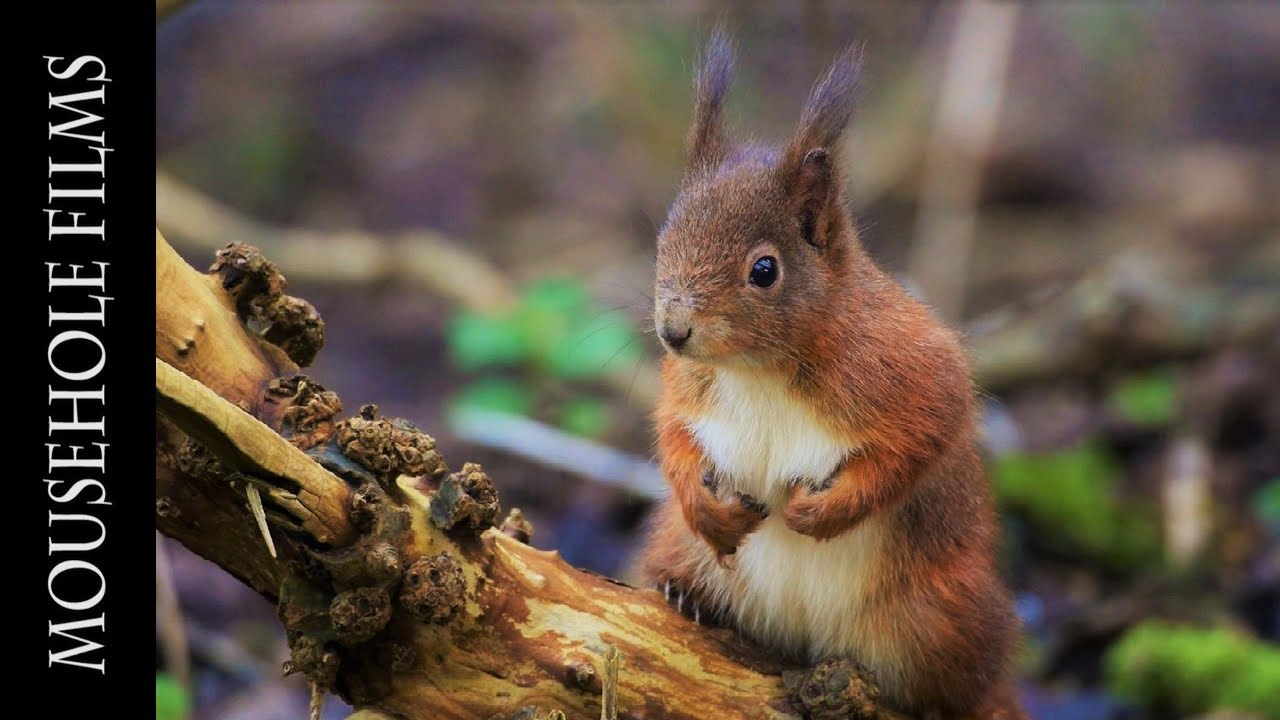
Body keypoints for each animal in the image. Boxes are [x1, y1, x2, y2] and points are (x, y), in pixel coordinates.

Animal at [639, 32, 1025, 720]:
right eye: (664, 240)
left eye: (764, 270)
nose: (673, 331)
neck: (760, 369)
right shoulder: (688, 389)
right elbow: (673, 436)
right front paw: (706, 507)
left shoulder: (910, 369)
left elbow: (923, 437)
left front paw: (821, 514)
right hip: (674, 542)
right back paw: (683, 595)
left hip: (942, 609)